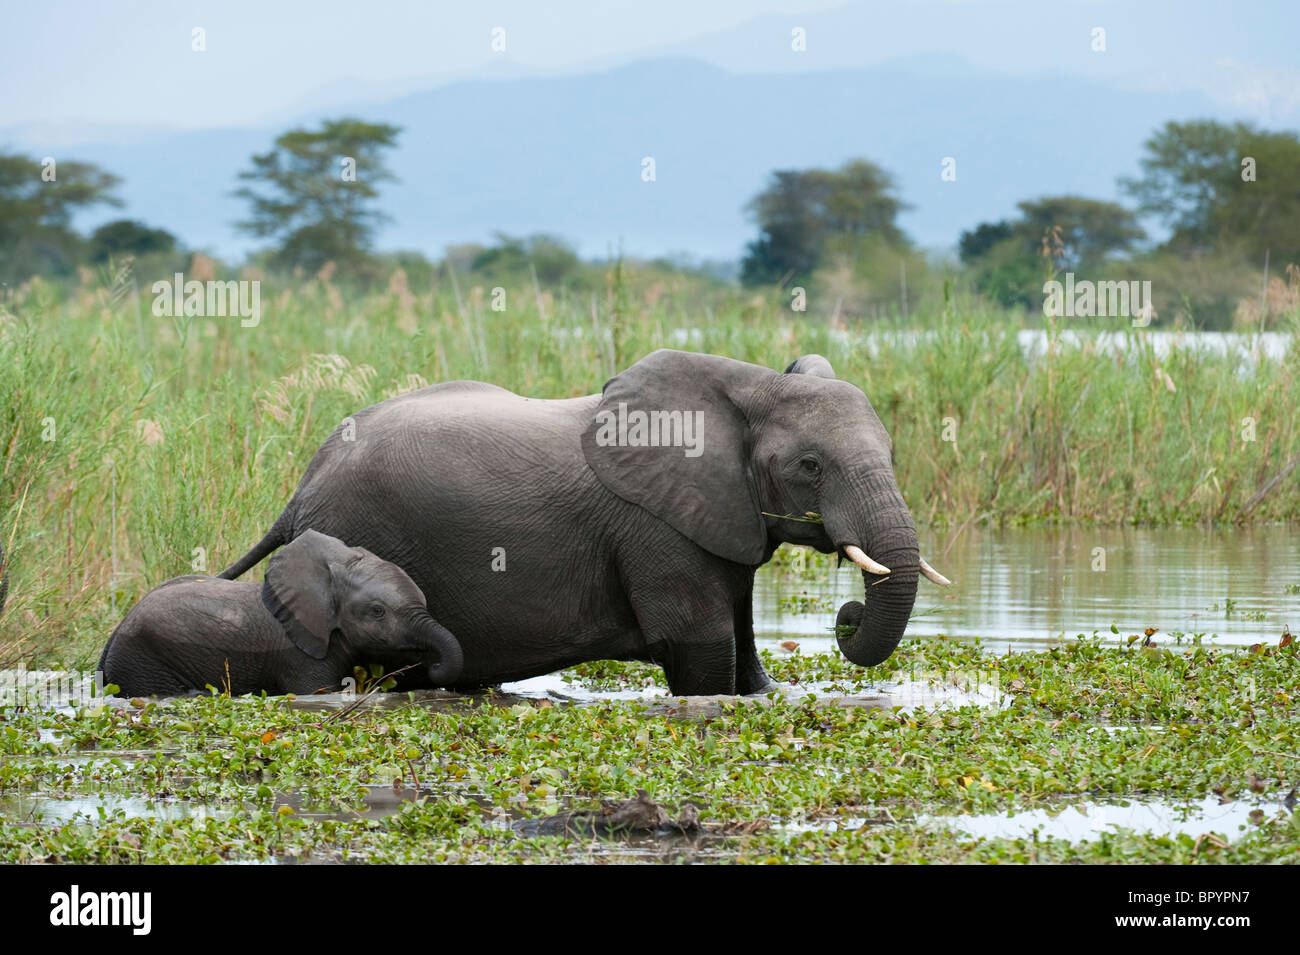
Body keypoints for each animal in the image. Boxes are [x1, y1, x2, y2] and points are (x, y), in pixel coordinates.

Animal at [218, 350, 948, 696]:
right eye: (810, 467)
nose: (846, 615)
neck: (750, 385)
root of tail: (302, 486)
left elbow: (744, 656)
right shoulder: (655, 527)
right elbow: (701, 650)